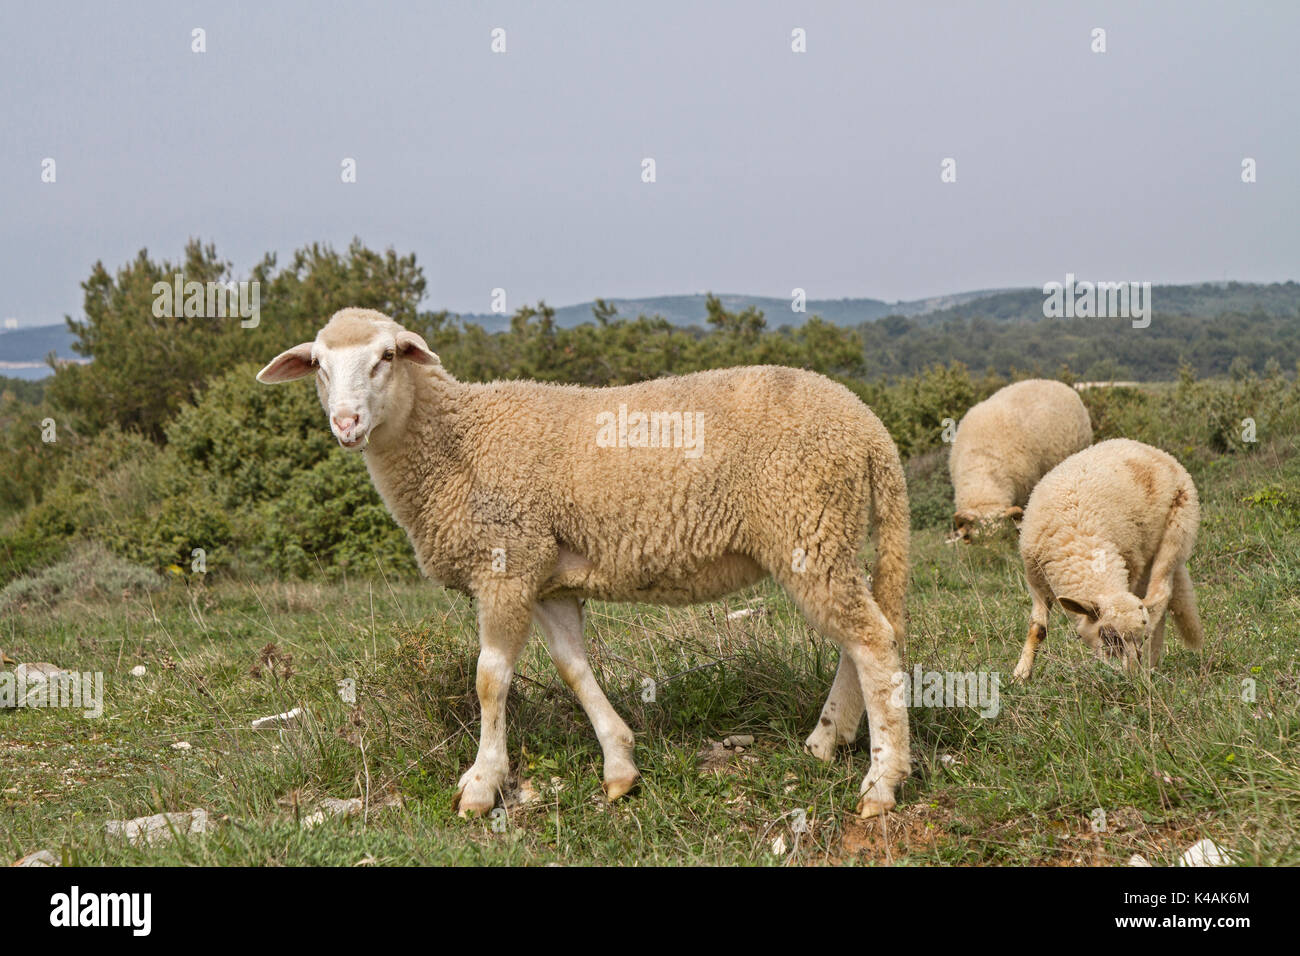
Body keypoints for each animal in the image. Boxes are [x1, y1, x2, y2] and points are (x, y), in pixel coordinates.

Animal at [257, 308, 913, 817]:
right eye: (318, 364)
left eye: (387, 356)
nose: (347, 423)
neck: (456, 443)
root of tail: (868, 427)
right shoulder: (546, 579)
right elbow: (574, 668)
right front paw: (620, 765)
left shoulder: (506, 564)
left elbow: (489, 680)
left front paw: (481, 785)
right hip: (826, 534)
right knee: (863, 637)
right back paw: (826, 742)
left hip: (808, 524)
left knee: (873, 641)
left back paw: (880, 782)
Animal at [1013, 438, 1203, 680]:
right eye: (1109, 636)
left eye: (1141, 639)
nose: (1129, 677)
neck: (1080, 539)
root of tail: (1156, 452)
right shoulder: (1036, 581)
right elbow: (1038, 628)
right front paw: (1021, 674)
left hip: (1176, 533)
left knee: (1161, 595)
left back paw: (1151, 665)